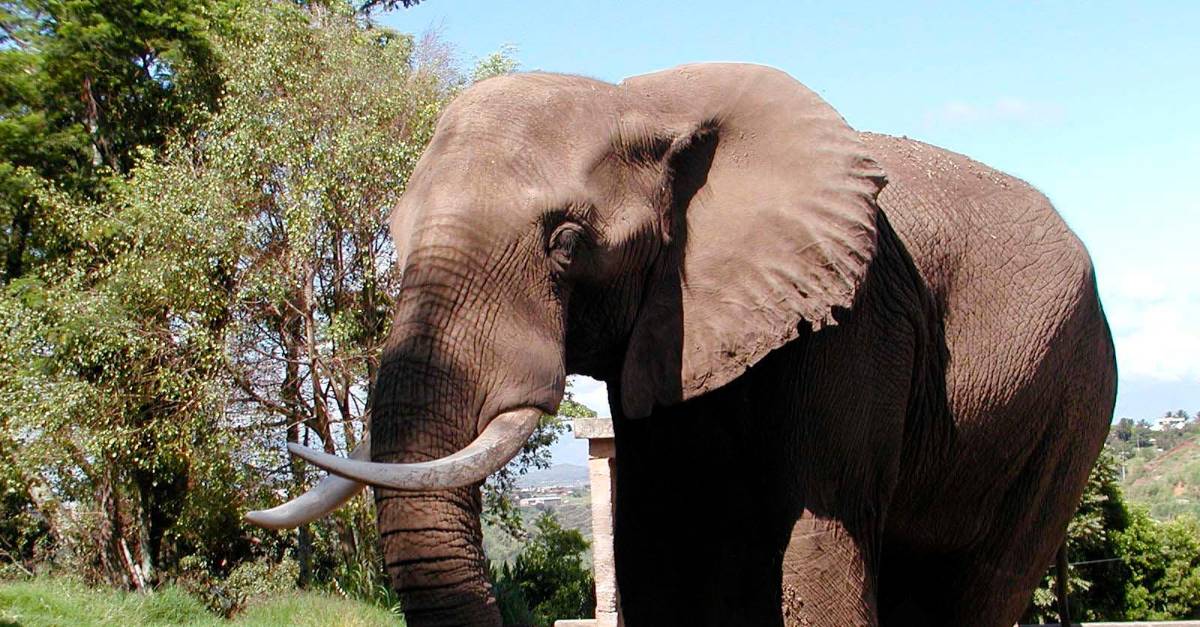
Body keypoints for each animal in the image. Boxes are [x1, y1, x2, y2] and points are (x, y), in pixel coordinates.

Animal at [246, 63, 1116, 626]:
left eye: (566, 242)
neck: (649, 105)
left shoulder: (859, 320)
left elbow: (818, 550)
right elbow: (658, 544)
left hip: (1072, 404)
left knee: (987, 580)